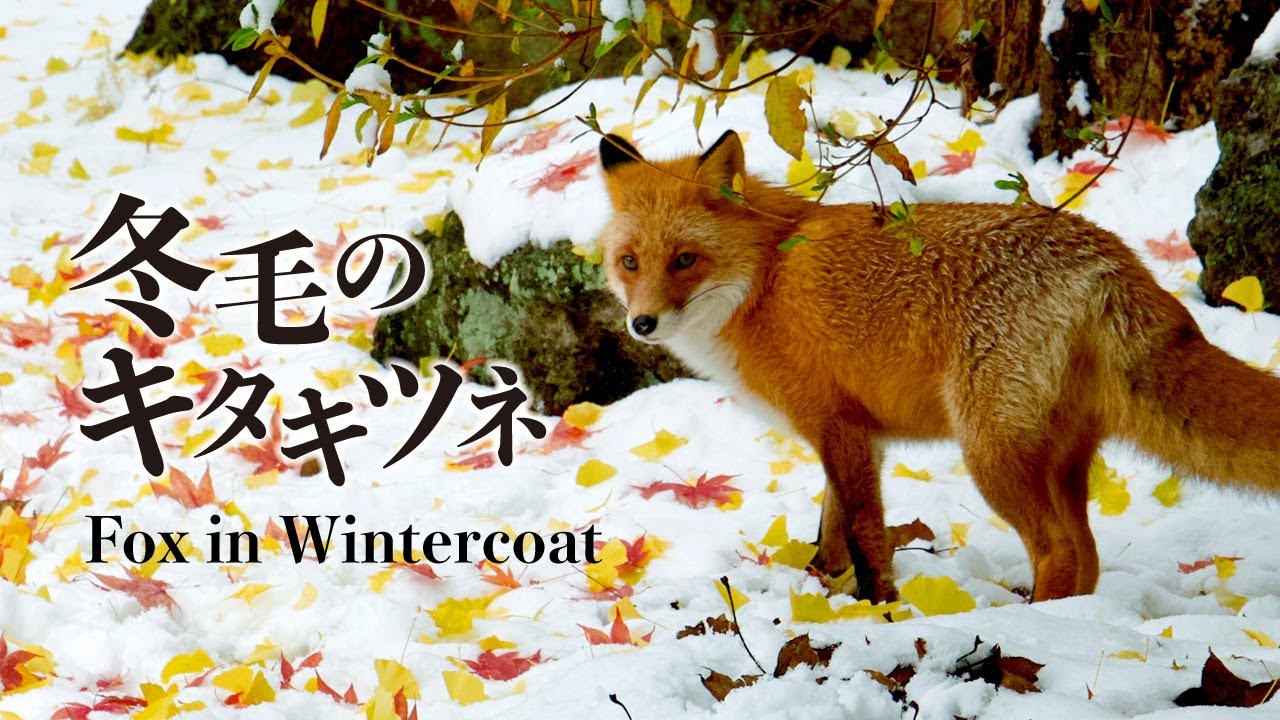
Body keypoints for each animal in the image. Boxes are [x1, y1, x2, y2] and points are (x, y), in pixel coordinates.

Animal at [595, 129, 1280, 603]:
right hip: (1059, 457)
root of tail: (1112, 256)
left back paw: (1031, 629)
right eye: (630, 262)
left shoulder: (837, 427)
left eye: (685, 260)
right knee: (1087, 556)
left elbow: (865, 534)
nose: (642, 324)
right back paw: (1072, 622)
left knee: (1059, 551)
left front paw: (880, 607)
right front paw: (822, 590)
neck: (764, 277)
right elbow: (830, 532)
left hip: (989, 452)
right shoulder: (856, 436)